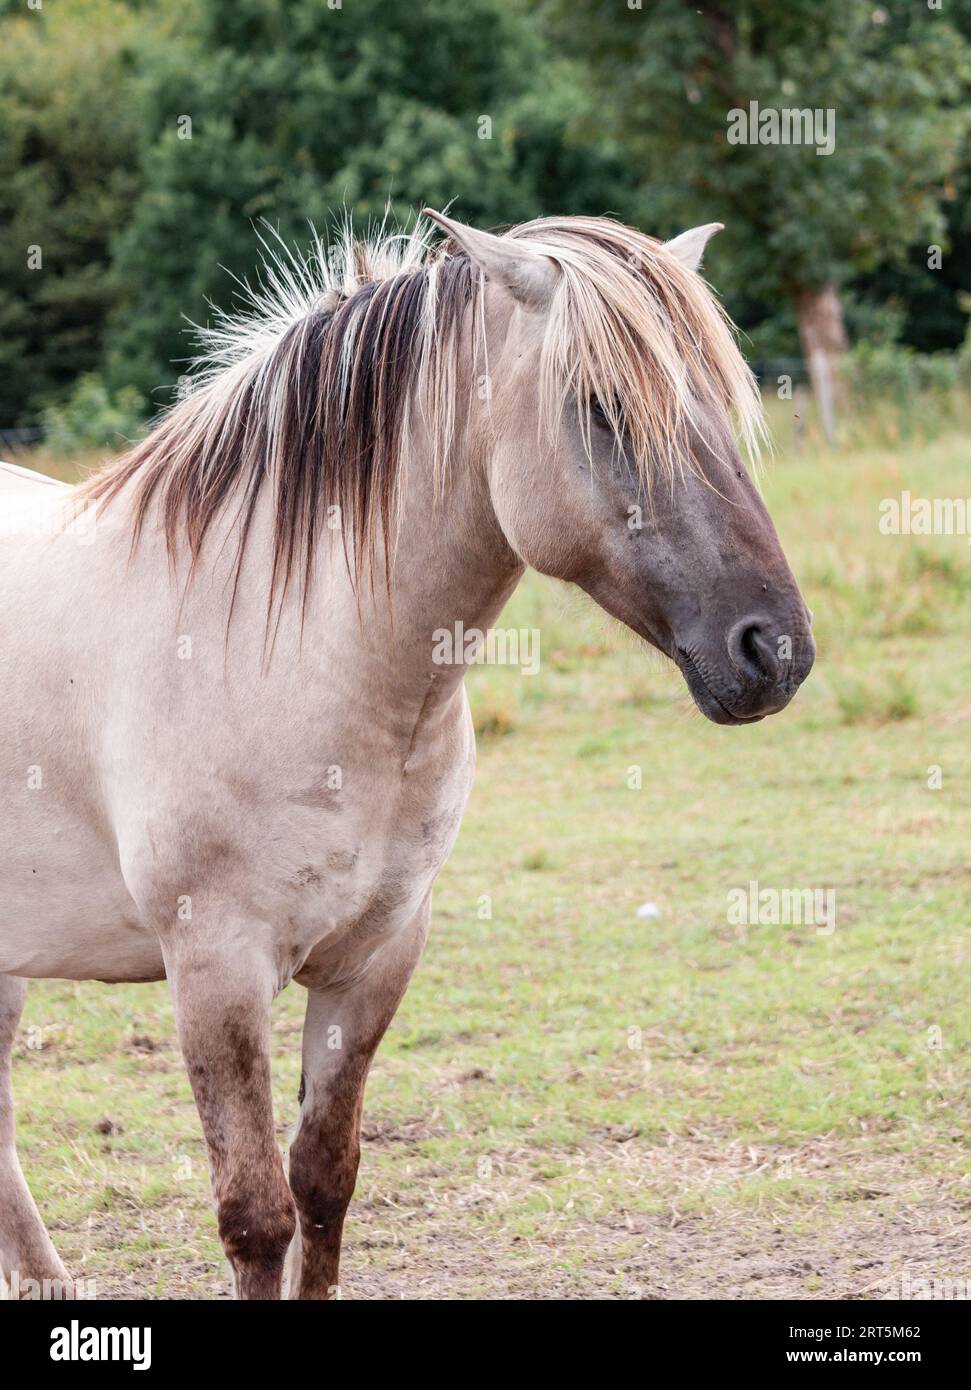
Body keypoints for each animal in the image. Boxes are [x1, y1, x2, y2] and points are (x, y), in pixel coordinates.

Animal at [0, 210, 814, 1300]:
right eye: (599, 408)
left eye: (718, 405)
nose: (772, 650)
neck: (290, 647)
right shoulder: (216, 967)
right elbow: (255, 1214)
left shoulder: (376, 955)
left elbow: (324, 1182)